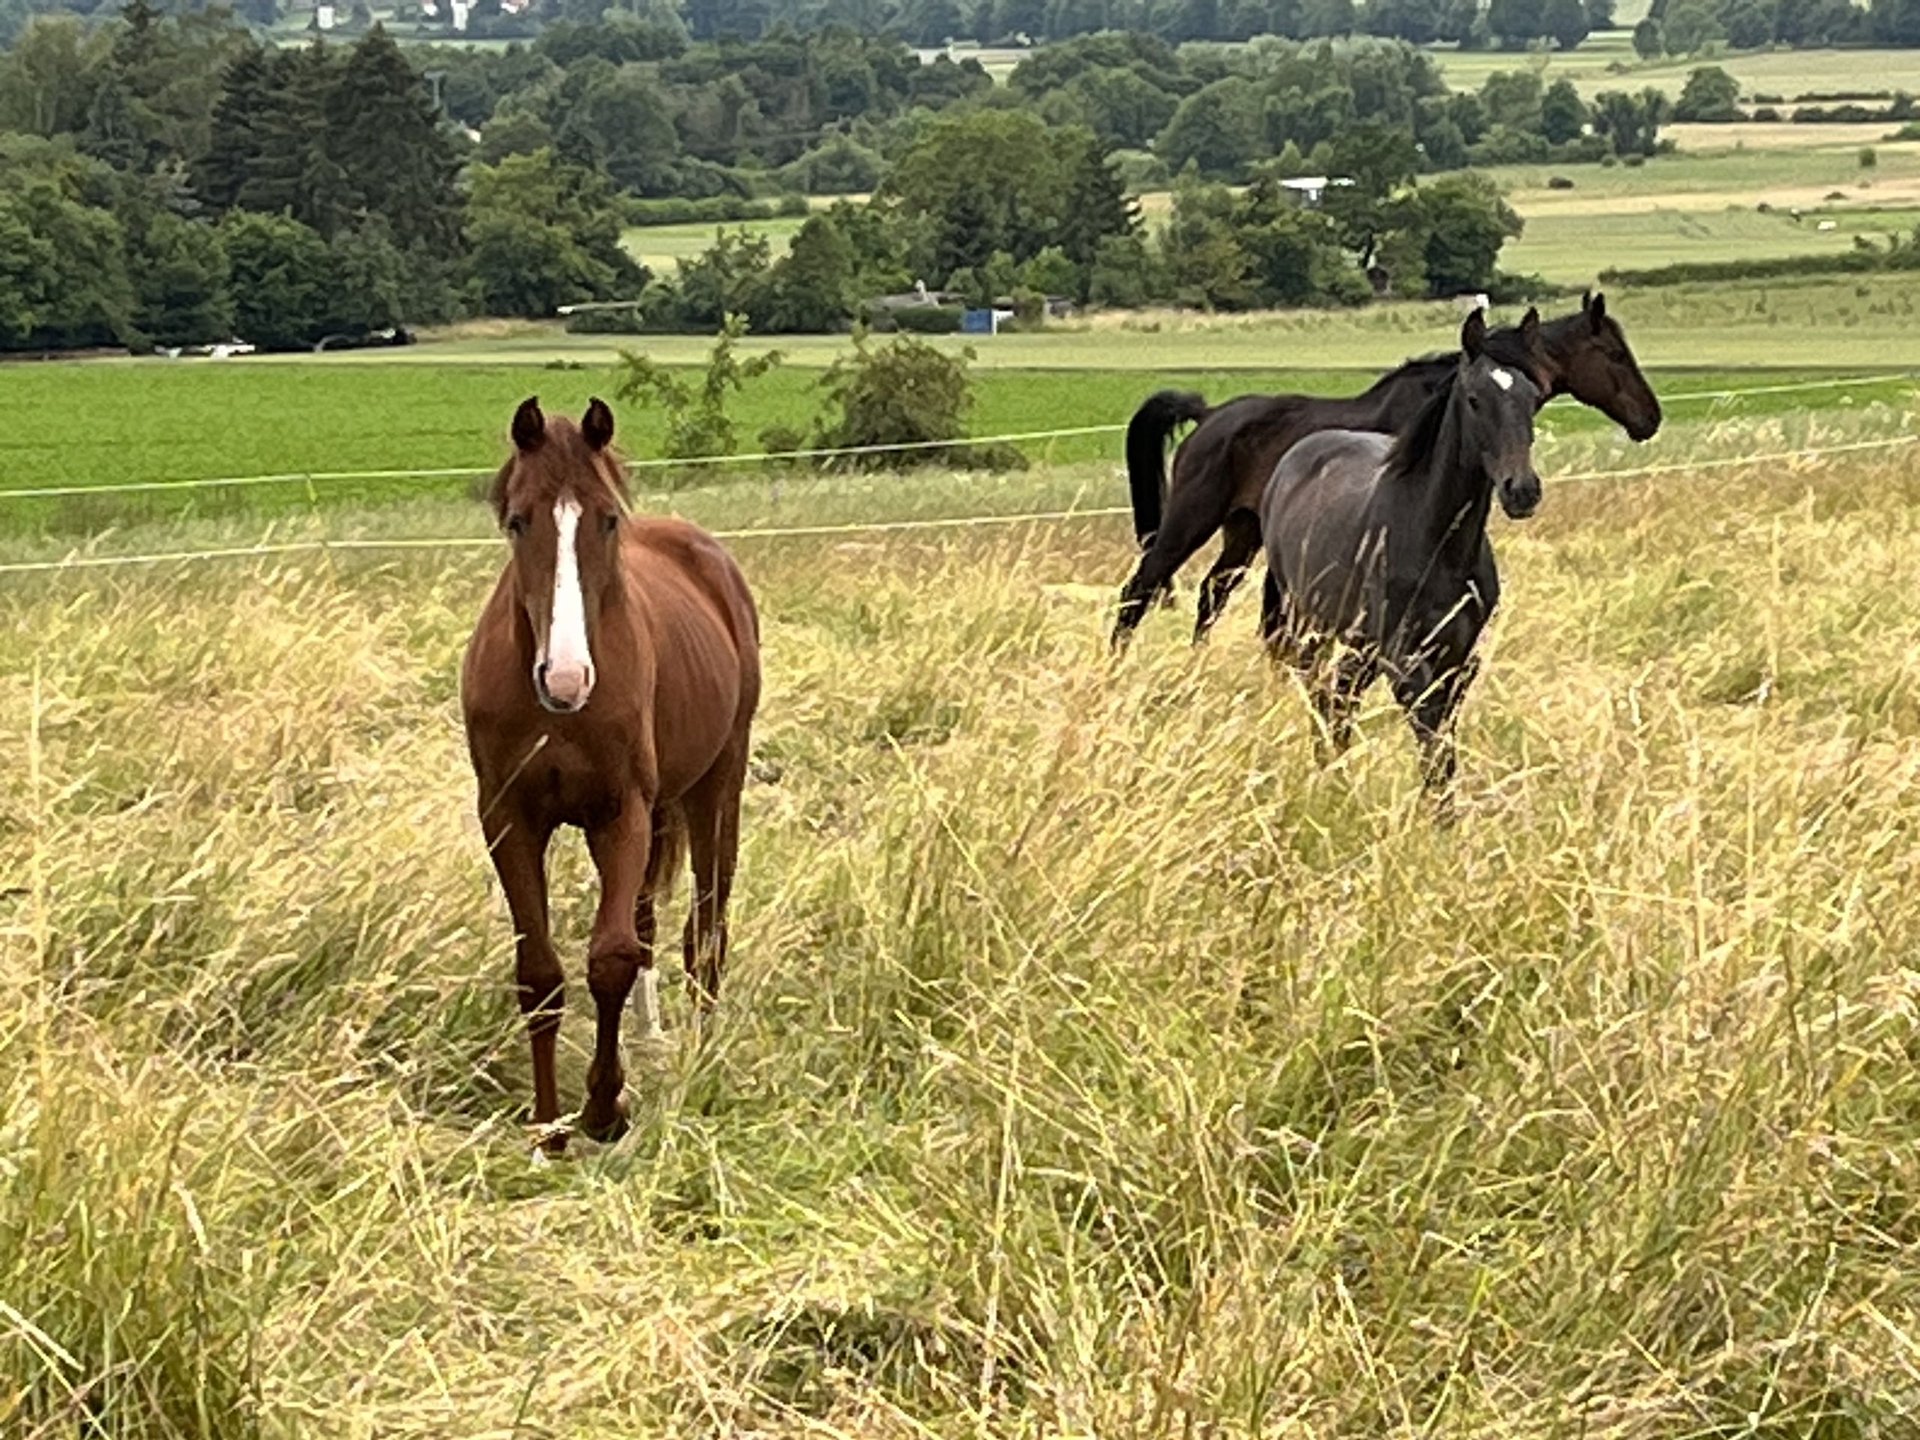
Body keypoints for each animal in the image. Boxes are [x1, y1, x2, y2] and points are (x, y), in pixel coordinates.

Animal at [460, 397, 761, 1152]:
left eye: (606, 519)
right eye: (518, 520)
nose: (565, 679)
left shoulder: (619, 813)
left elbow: (610, 959)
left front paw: (604, 1110)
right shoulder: (508, 819)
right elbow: (540, 973)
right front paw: (547, 1129)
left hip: (718, 784)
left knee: (705, 928)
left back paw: (698, 1055)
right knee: (652, 921)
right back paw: (648, 1043)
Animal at [1111, 291, 1661, 650]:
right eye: (1614, 353)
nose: (1650, 417)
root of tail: (1208, 417)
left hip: (1242, 532)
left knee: (1210, 594)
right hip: (1190, 521)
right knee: (1139, 590)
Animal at [1257, 309, 1541, 804]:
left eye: (1532, 397)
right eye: (1474, 399)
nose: (1521, 490)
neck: (1437, 543)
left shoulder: (1456, 658)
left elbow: (1443, 749)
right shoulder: (1405, 660)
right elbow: (1431, 748)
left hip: (1360, 643)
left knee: (1338, 700)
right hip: (1311, 626)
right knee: (1320, 693)